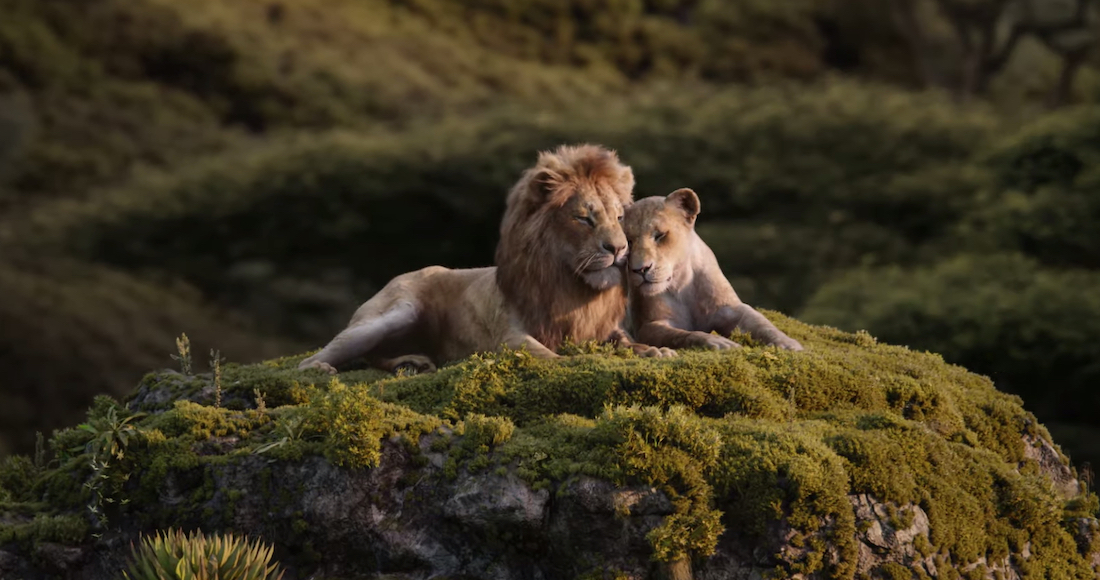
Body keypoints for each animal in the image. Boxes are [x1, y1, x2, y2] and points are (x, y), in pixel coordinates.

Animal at [298, 144, 673, 375]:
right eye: (584, 218)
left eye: (619, 217)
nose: (619, 249)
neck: (572, 285)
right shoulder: (507, 337)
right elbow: (548, 355)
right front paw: (575, 361)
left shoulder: (603, 328)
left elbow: (627, 342)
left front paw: (655, 351)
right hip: (397, 311)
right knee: (332, 352)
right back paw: (319, 367)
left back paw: (413, 362)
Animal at [622, 188, 804, 352]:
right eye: (628, 242)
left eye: (659, 235)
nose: (640, 269)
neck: (681, 284)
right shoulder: (648, 326)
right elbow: (683, 335)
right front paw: (719, 342)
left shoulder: (730, 309)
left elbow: (761, 323)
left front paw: (788, 343)